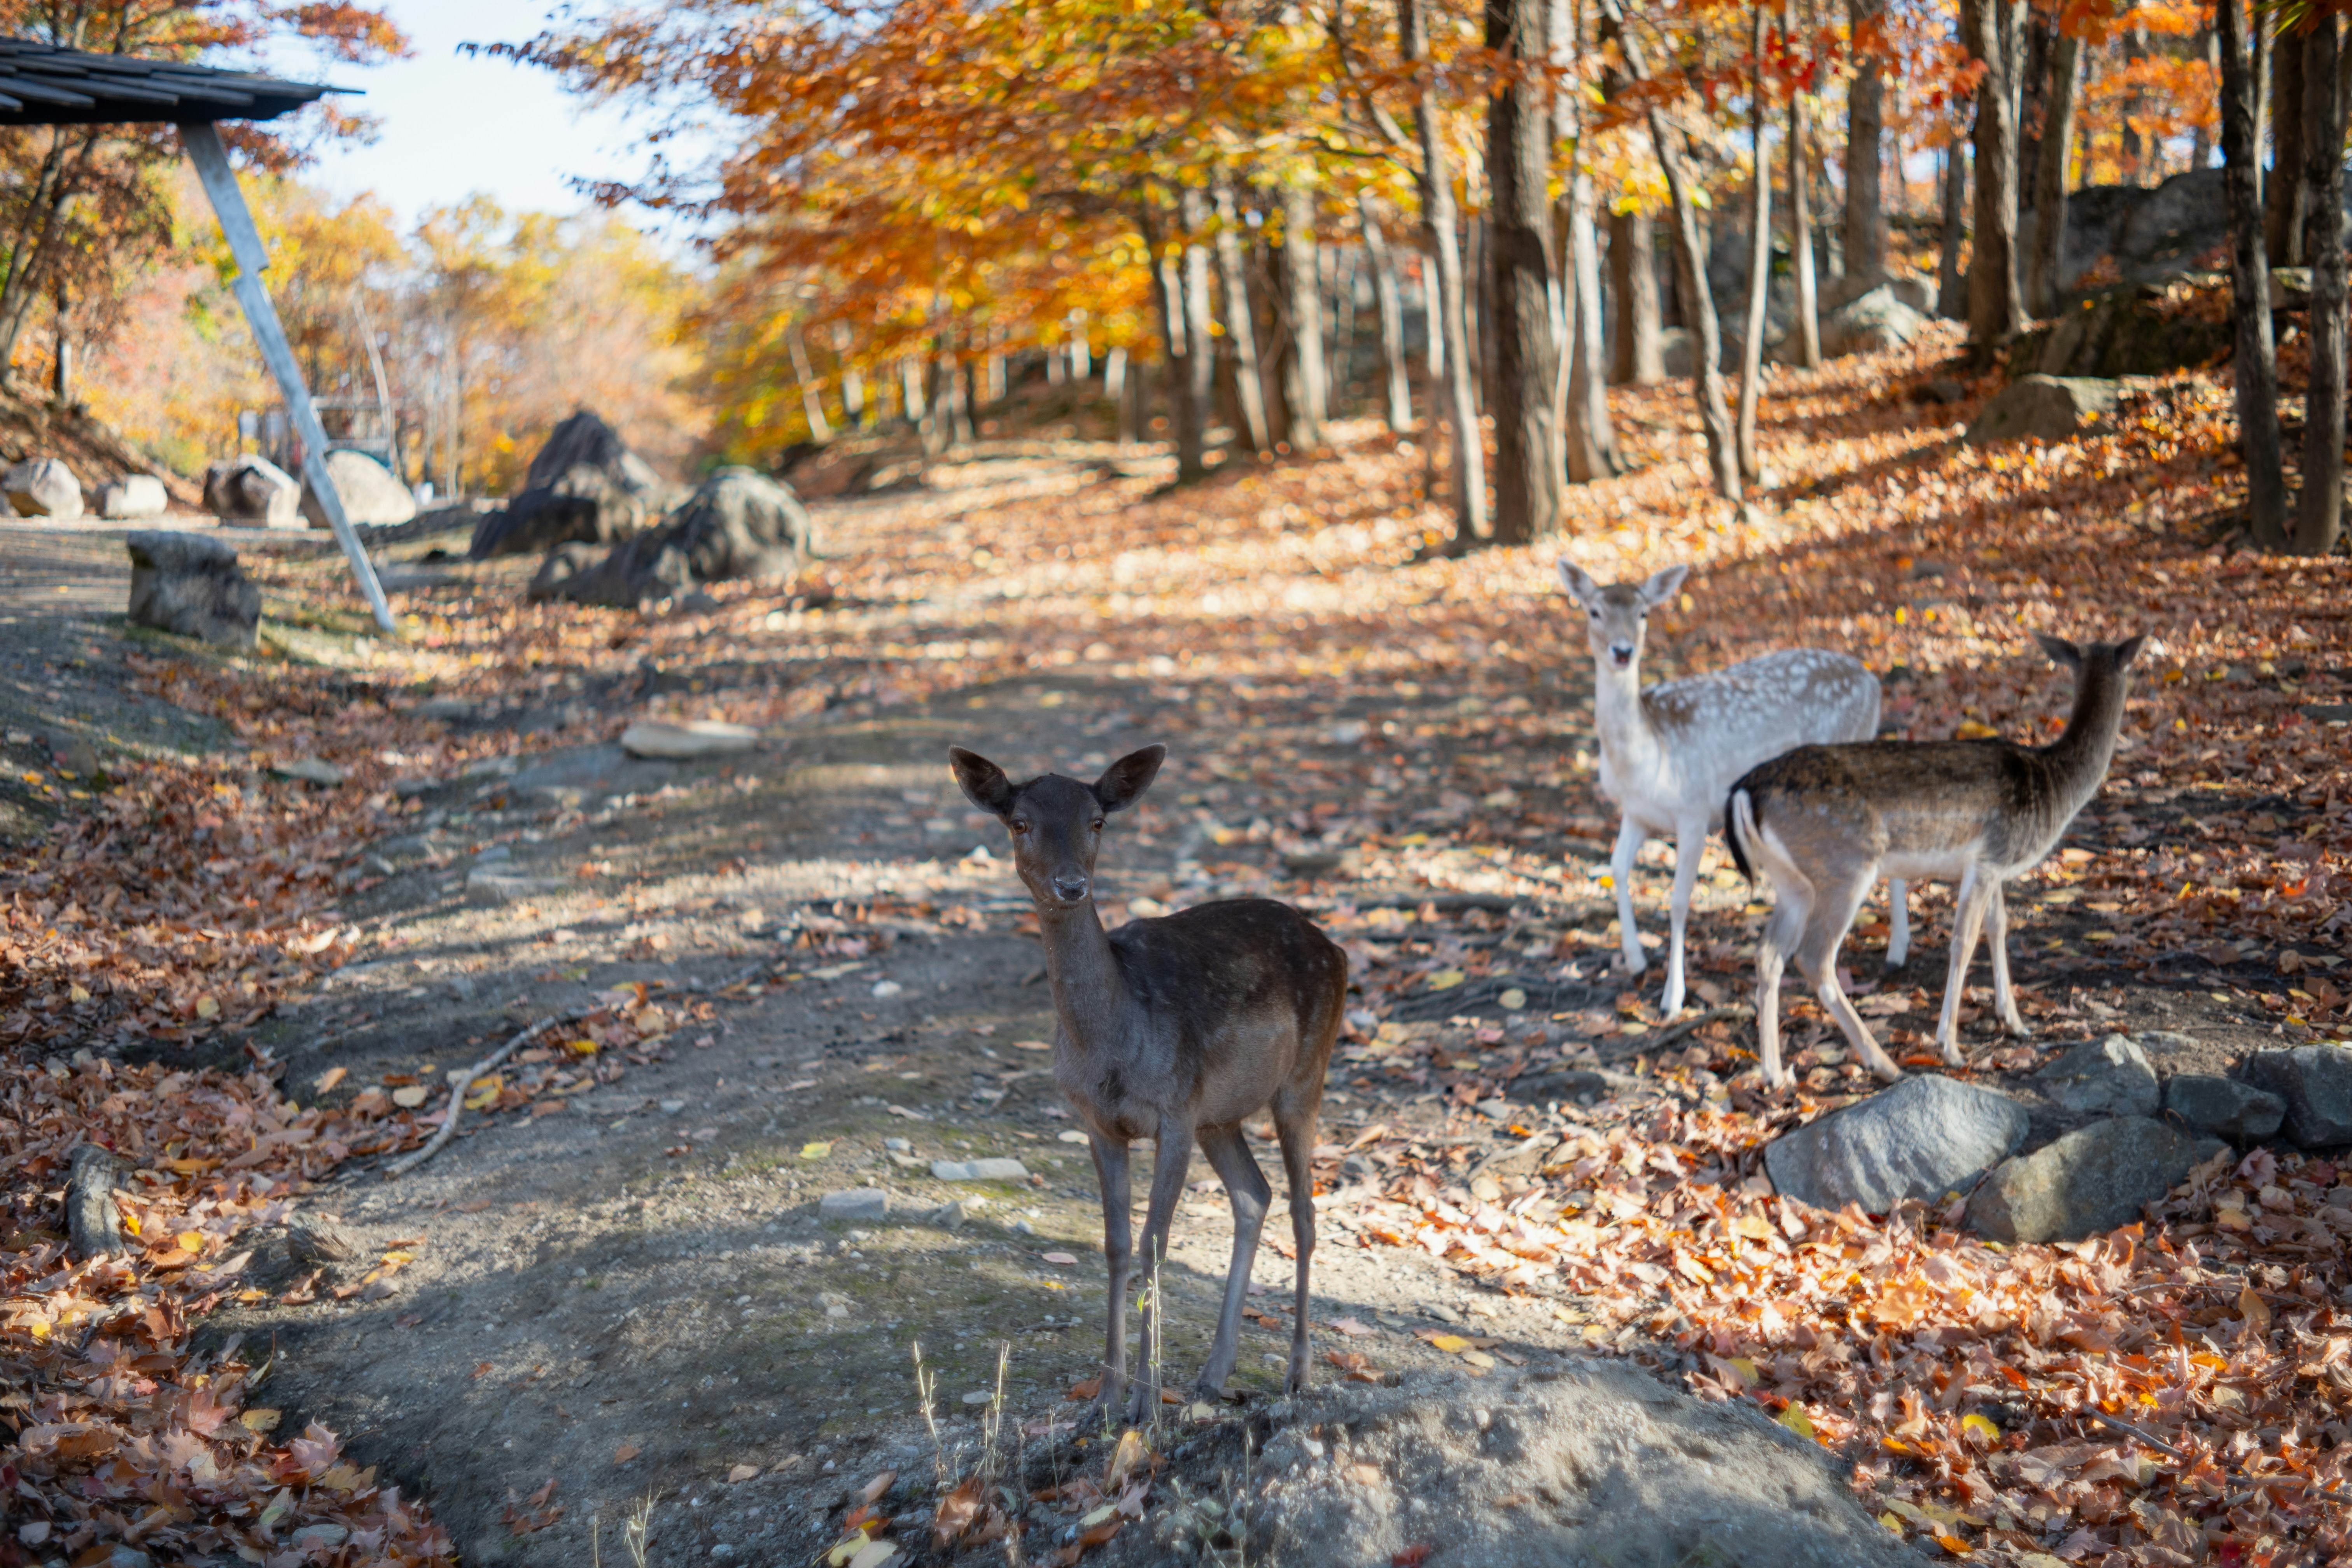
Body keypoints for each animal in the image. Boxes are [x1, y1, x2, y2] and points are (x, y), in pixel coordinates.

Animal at [948, 743, 1347, 1423]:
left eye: (1097, 820)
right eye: (1020, 822)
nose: (1071, 884)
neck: (1109, 1049)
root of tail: (1339, 949)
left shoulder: (1174, 1113)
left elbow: (1154, 1245)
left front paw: (1143, 1403)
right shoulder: (1099, 1123)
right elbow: (1115, 1244)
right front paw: (1108, 1397)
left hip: (1303, 1076)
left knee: (1303, 1209)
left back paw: (1297, 1374)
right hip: (1221, 1113)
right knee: (1254, 1194)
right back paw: (1213, 1375)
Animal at [1555, 560, 1909, 1019]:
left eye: (1644, 613)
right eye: (1594, 611)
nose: (1622, 652)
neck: (1648, 756)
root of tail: (1874, 683)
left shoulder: (1693, 811)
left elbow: (1678, 901)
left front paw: (1672, 999)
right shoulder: (1636, 813)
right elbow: (1616, 868)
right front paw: (1635, 962)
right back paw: (1889, 953)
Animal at [1725, 632, 2146, 1088]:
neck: (2054, 785)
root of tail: (1745, 790)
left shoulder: (1993, 862)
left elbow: (1999, 927)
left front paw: (2015, 1022)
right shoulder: (1991, 858)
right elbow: (1964, 941)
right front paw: (1951, 1047)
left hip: (1791, 880)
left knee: (1768, 953)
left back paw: (1775, 1075)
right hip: (1844, 864)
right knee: (1814, 958)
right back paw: (1884, 1063)